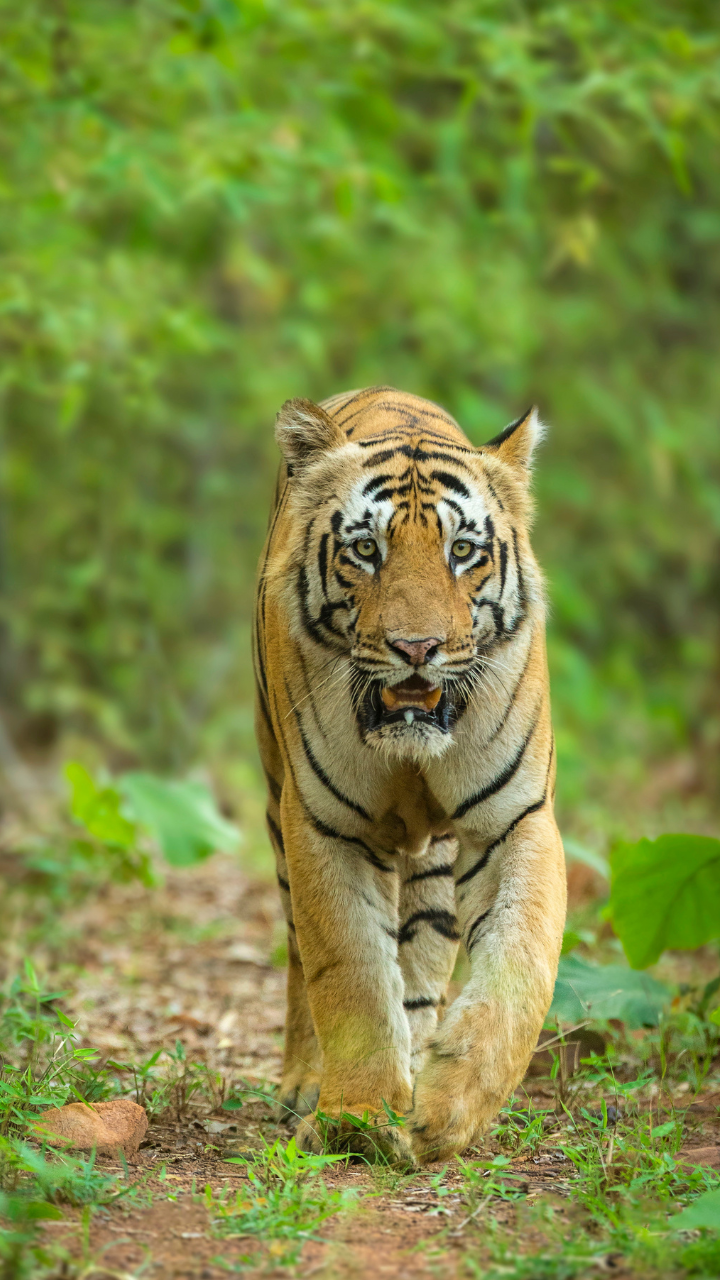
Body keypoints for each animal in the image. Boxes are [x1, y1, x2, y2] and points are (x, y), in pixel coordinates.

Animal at [253, 386, 566, 1165]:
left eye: (463, 552)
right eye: (367, 549)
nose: (416, 648)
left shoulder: (514, 819)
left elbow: (520, 964)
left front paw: (448, 1109)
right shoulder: (324, 824)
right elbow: (352, 972)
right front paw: (359, 1117)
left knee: (423, 959)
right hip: (276, 799)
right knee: (303, 955)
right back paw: (309, 1082)